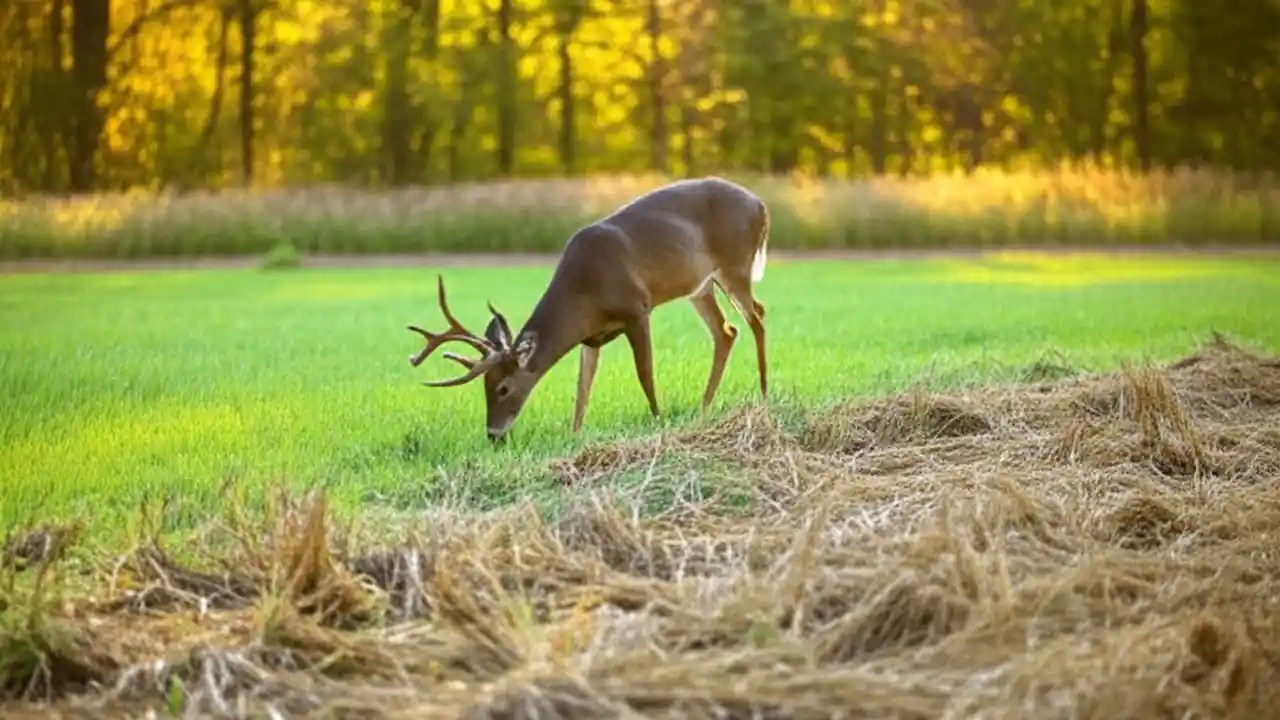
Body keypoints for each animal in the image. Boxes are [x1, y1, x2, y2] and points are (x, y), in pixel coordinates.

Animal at [405, 176, 770, 442]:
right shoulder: (590, 337)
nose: (493, 434)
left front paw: (658, 419)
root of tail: (761, 205)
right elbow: (582, 388)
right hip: (701, 286)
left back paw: (764, 394)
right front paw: (575, 434)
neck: (585, 291)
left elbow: (645, 373)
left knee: (757, 318)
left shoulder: (637, 308)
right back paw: (704, 408)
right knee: (727, 330)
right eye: (483, 386)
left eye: (503, 387)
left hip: (735, 266)